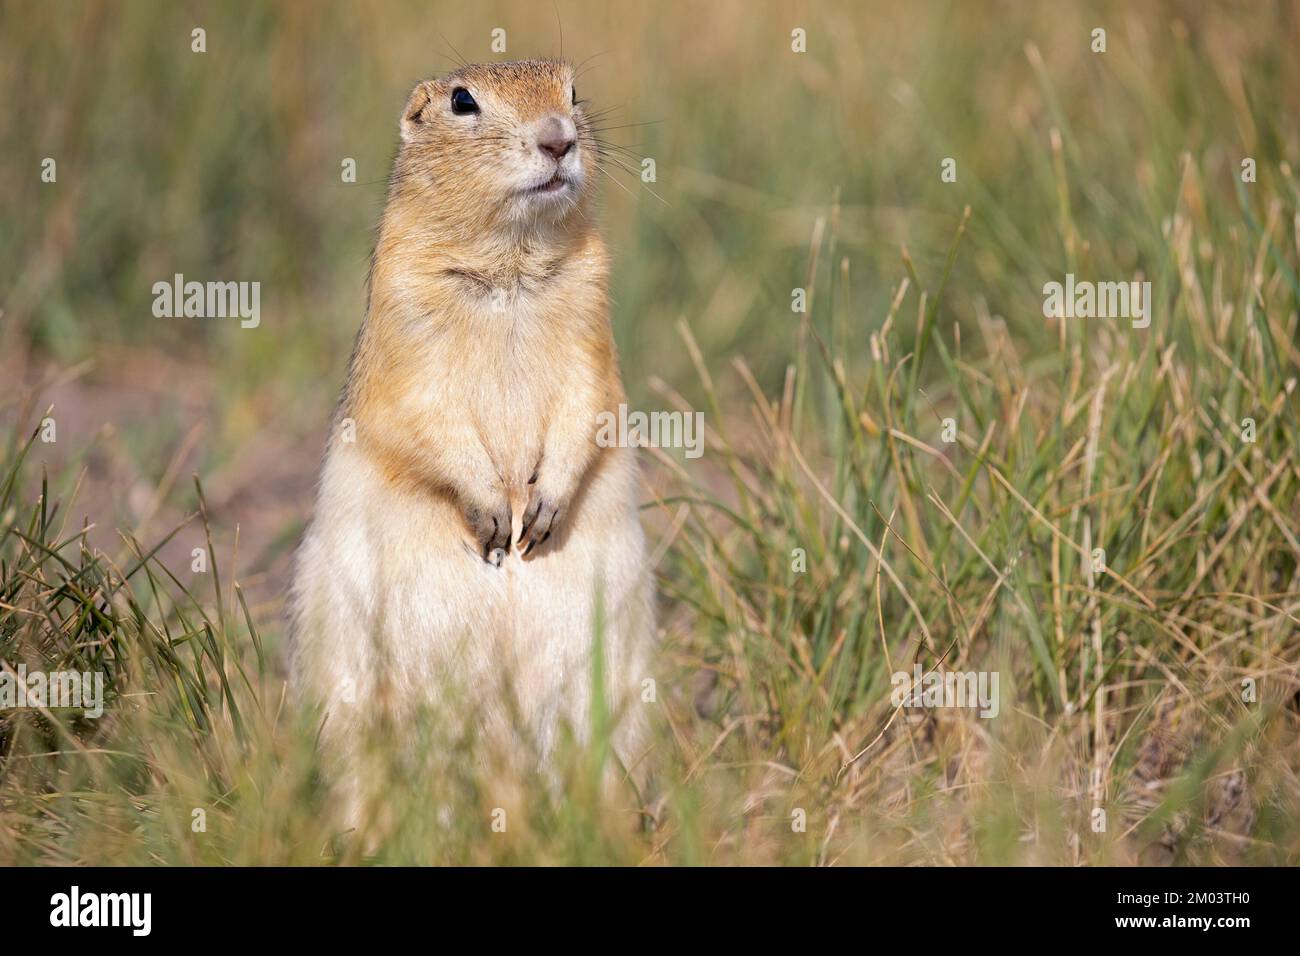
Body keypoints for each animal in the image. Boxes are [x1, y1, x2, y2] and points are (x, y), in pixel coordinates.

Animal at [289, 60, 654, 827]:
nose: (559, 138)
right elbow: (428, 420)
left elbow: (589, 408)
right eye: (463, 102)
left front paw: (540, 512)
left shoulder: (593, 335)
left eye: (572, 90)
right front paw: (494, 514)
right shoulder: (404, 336)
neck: (510, 264)